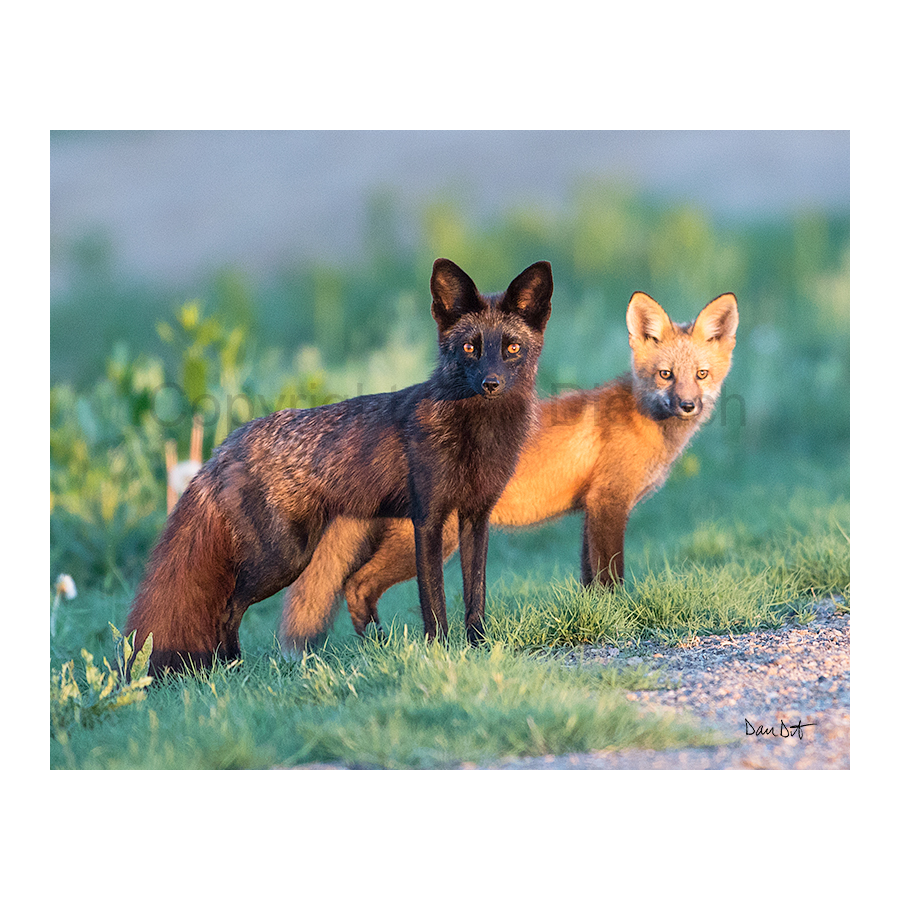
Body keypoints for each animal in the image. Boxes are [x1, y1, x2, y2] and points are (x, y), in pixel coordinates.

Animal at [125, 258, 553, 675]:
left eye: (512, 347)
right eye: (469, 347)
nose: (491, 383)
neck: (478, 438)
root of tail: (226, 446)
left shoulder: (475, 518)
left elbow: (474, 597)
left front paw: (478, 650)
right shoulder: (429, 521)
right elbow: (434, 602)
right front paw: (440, 653)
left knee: (356, 588)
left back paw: (377, 650)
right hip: (286, 559)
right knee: (228, 606)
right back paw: (231, 667)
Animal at [279, 290, 738, 651]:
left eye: (701, 375)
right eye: (666, 375)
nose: (688, 405)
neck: (643, 421)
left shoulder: (590, 511)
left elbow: (590, 582)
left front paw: (601, 618)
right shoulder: (609, 503)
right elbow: (612, 578)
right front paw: (621, 619)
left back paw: (377, 647)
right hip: (431, 539)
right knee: (356, 585)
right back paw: (382, 646)